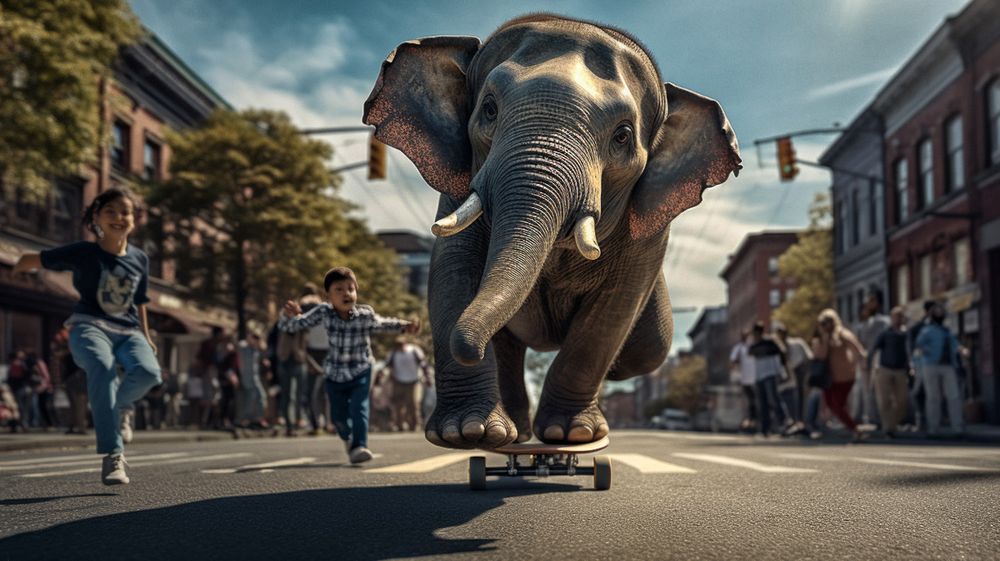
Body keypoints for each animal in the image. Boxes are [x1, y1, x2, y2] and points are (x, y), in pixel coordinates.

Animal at [363, 14, 741, 449]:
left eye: (623, 136)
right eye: (488, 109)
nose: (469, 349)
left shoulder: (650, 235)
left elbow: (613, 310)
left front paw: (572, 433)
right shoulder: (456, 188)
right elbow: (453, 273)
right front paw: (465, 433)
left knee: (647, 349)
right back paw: (510, 432)